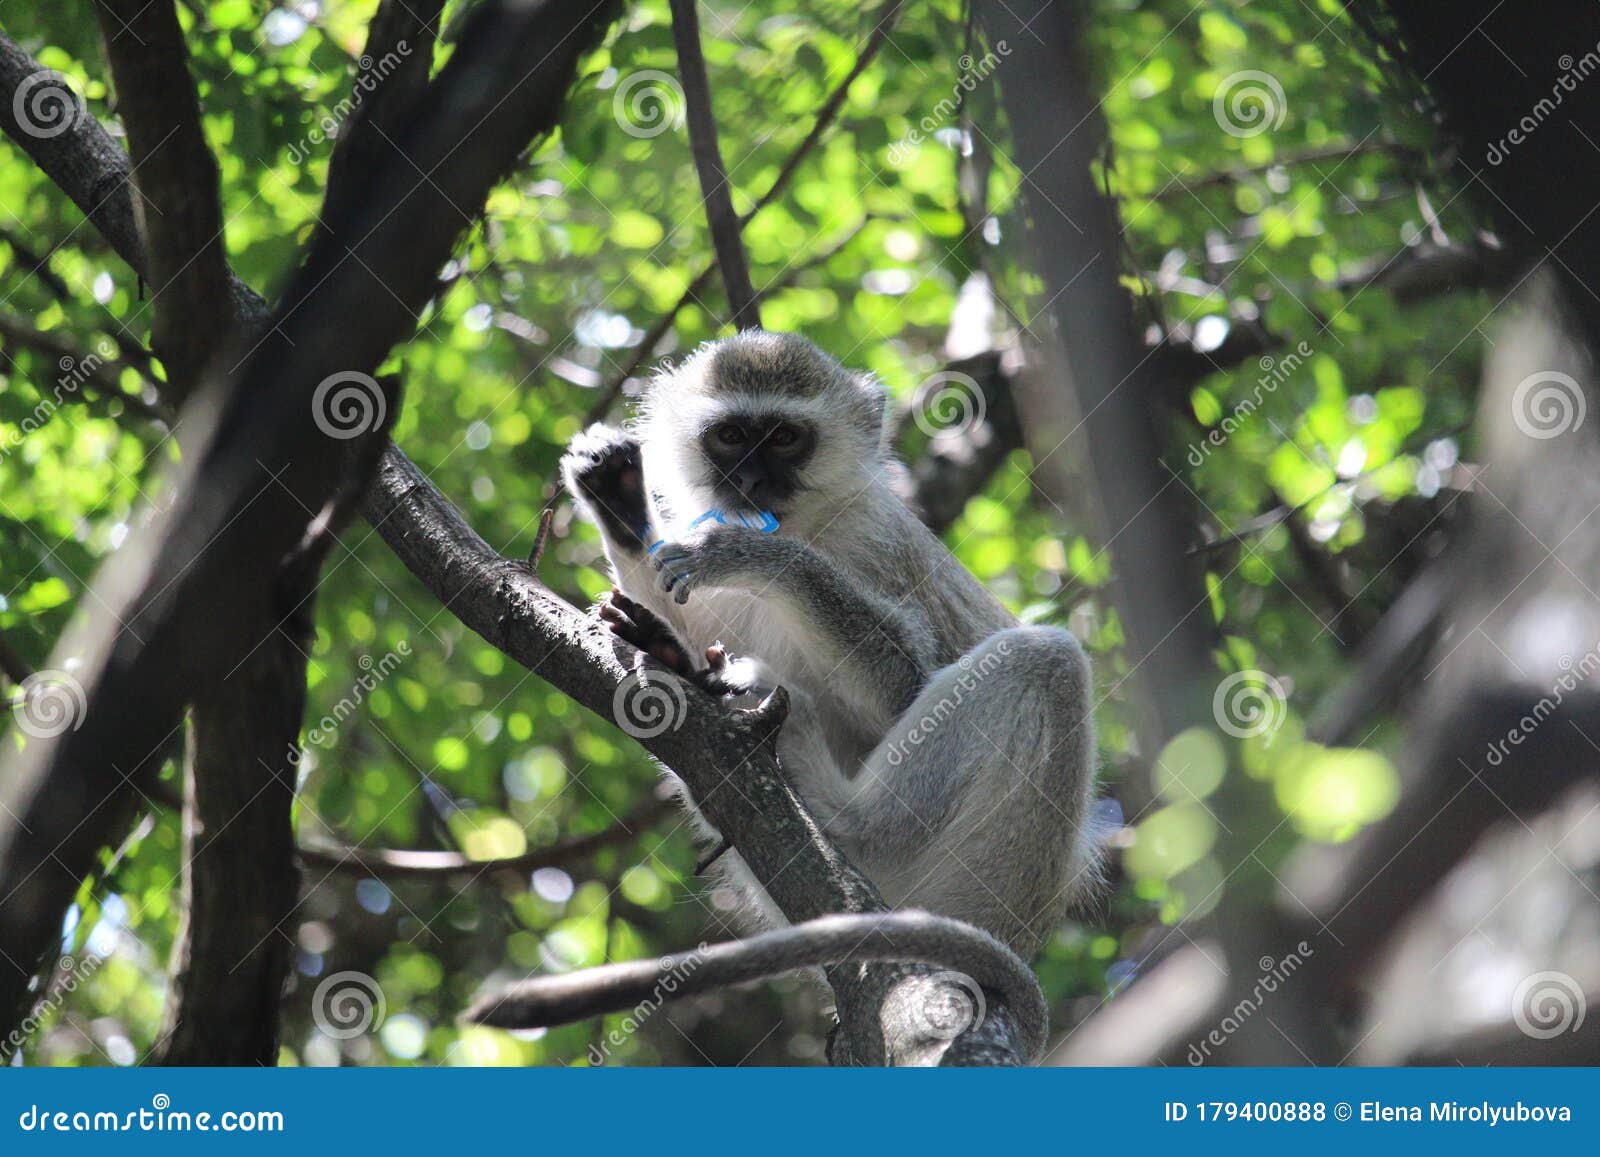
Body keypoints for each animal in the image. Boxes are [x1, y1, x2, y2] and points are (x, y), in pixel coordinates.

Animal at [469, 331, 1101, 1060]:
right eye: (732, 435)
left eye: (785, 438)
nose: (748, 484)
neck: (802, 524)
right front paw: (622, 506)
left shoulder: (878, 543)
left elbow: (907, 684)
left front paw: (752, 554)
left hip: (952, 876)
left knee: (1045, 663)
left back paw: (833, 804)